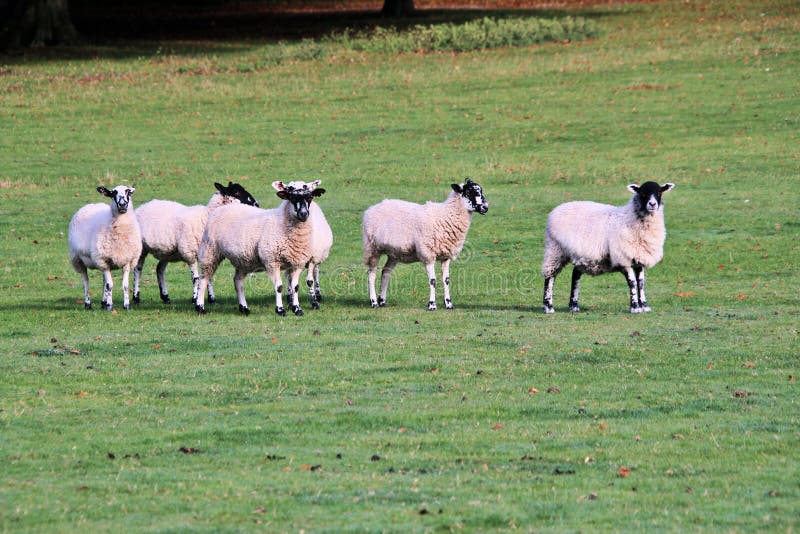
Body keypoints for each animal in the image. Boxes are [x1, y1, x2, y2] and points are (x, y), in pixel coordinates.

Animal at [195, 180, 326, 316]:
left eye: (310, 197)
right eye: (292, 197)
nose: (303, 214)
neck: (282, 223)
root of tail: (222, 208)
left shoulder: (297, 263)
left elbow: (295, 287)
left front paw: (297, 309)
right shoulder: (272, 261)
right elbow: (279, 287)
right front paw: (280, 309)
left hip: (243, 260)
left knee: (238, 281)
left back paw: (244, 308)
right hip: (209, 251)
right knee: (203, 280)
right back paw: (200, 307)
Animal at [362, 178, 489, 311]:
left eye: (480, 190)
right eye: (469, 192)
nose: (485, 207)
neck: (446, 215)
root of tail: (371, 208)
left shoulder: (446, 256)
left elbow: (446, 280)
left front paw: (449, 304)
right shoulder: (428, 254)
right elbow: (433, 280)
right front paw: (432, 304)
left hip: (394, 253)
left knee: (385, 273)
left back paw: (382, 301)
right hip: (372, 248)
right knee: (371, 274)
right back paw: (374, 302)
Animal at [541, 181, 675, 314]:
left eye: (659, 192)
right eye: (642, 193)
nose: (652, 204)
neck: (630, 219)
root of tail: (557, 209)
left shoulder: (639, 258)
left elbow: (641, 283)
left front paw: (645, 306)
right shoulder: (623, 258)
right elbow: (632, 282)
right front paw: (635, 307)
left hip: (580, 255)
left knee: (575, 275)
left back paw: (574, 306)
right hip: (555, 249)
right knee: (550, 276)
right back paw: (548, 306)